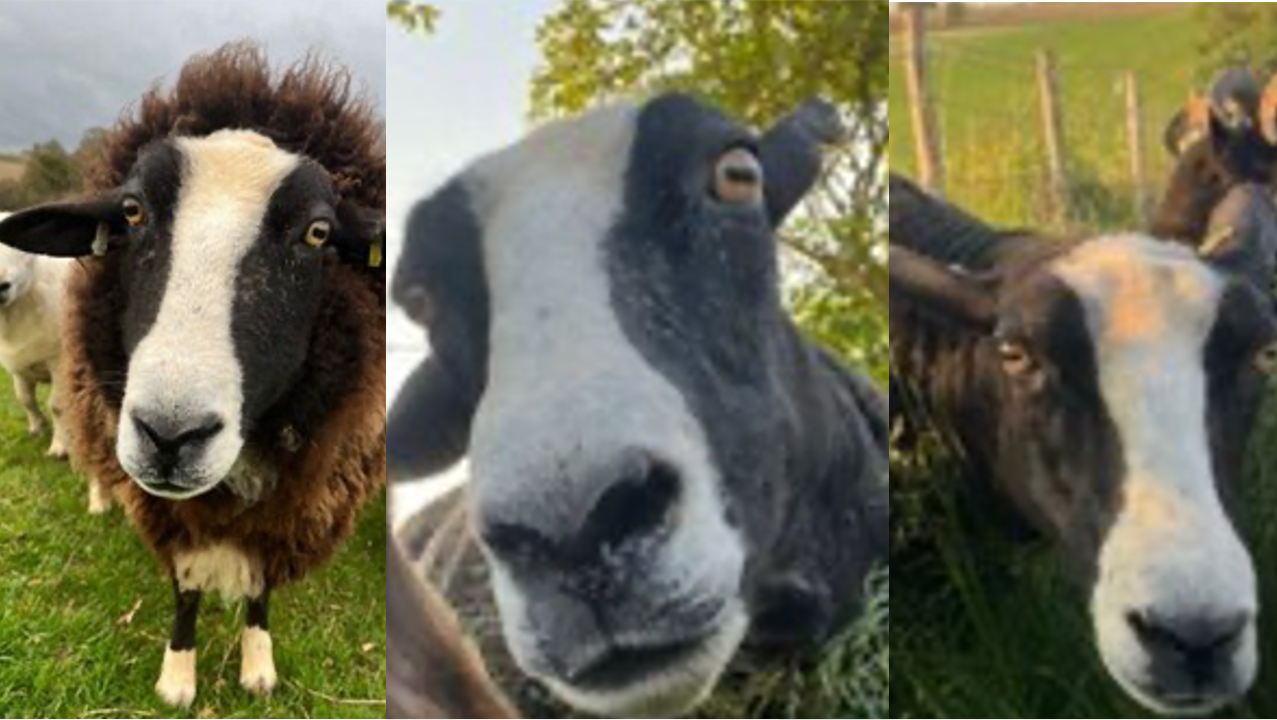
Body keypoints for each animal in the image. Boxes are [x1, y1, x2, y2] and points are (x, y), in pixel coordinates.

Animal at [0, 43, 386, 707]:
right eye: (131, 212)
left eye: (318, 233)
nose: (169, 436)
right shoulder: (169, 509)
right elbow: (185, 589)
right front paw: (177, 676)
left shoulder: (291, 499)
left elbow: (260, 587)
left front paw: (258, 665)